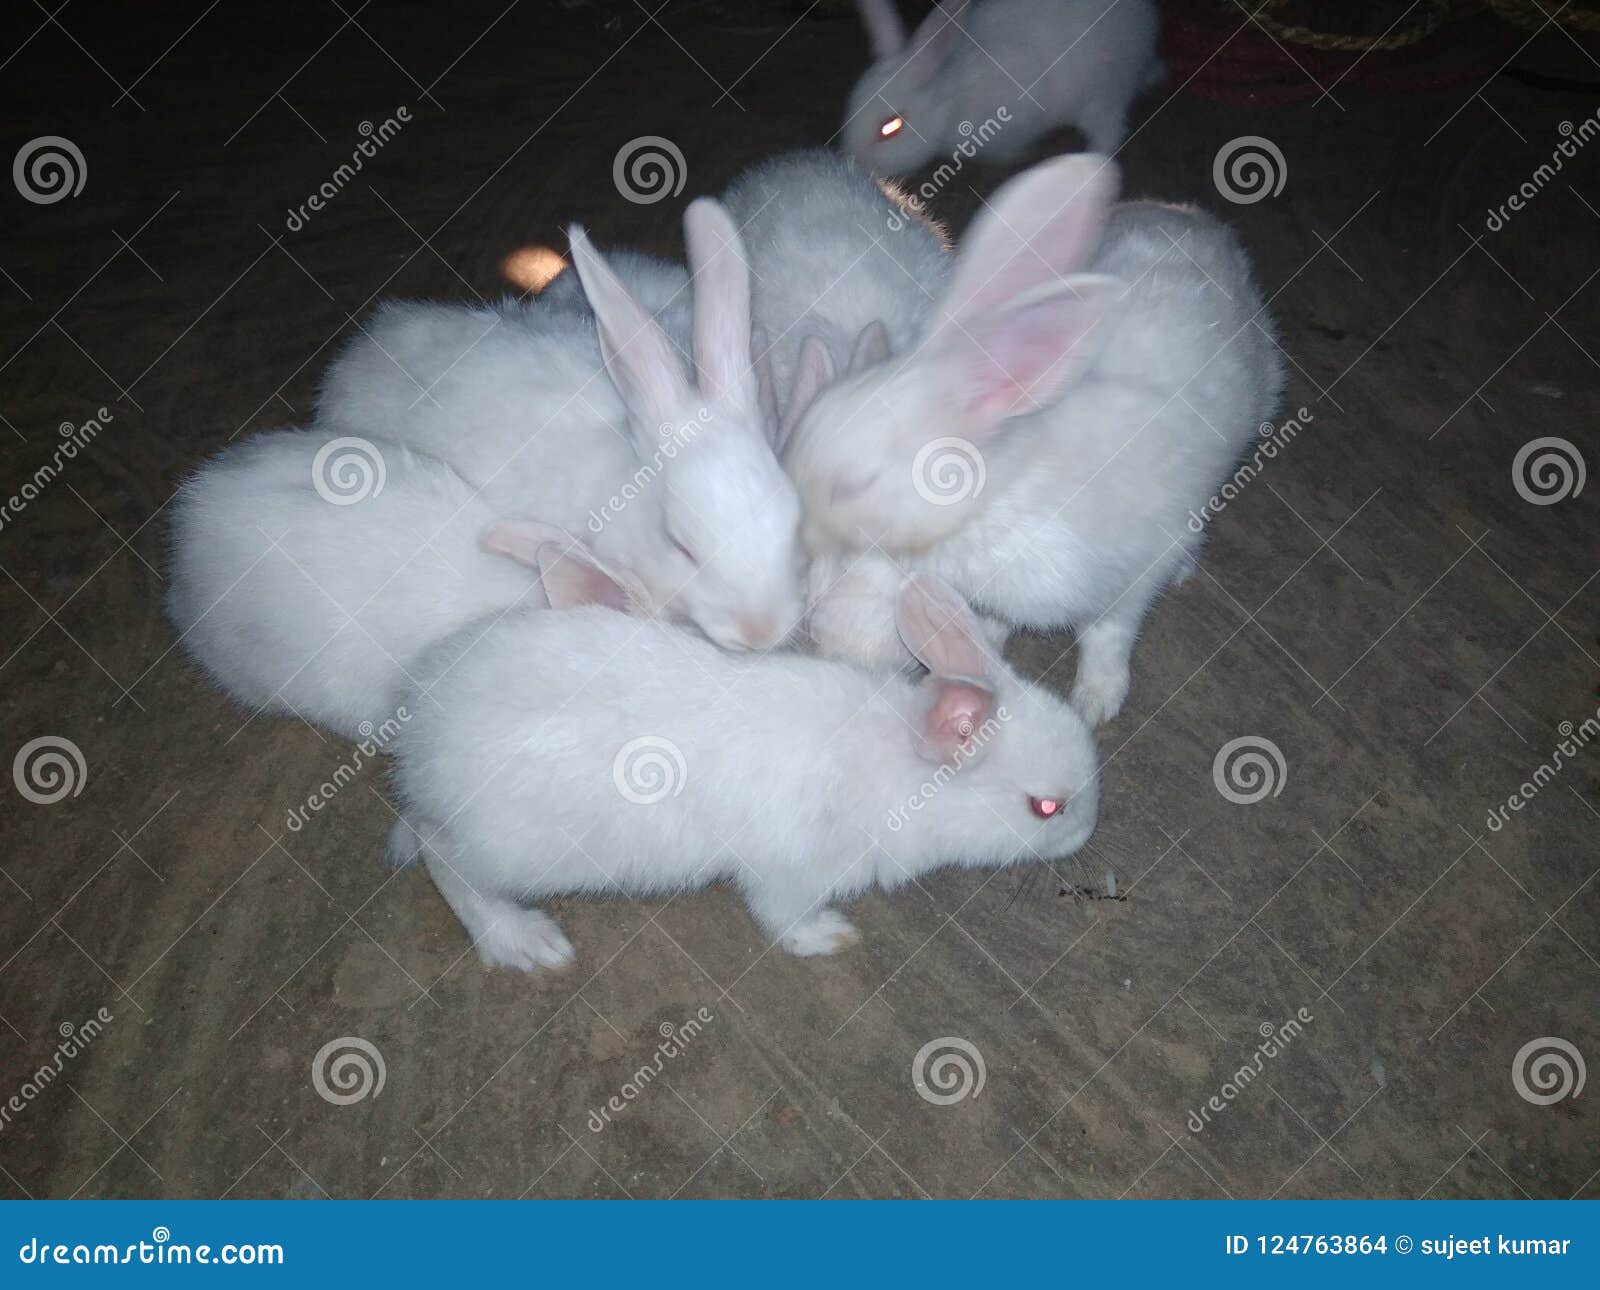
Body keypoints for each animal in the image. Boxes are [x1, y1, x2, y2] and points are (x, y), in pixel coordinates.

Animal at [385, 532, 1099, 971]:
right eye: (1045, 807)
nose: (1087, 832)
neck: (897, 767)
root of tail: (425, 737)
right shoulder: (789, 872)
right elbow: (784, 919)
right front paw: (830, 937)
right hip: (509, 848)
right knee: (442, 858)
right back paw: (525, 942)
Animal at [782, 153, 1286, 726]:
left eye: (854, 485)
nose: (802, 536)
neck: (992, 501)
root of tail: (1194, 219)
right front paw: (984, 645)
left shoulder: (1130, 576)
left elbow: (1107, 634)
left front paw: (1096, 702)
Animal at [842, 0, 1162, 175]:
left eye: (890, 128)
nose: (854, 161)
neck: (952, 101)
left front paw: (1021, 155)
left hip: (1100, 97)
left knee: (1110, 133)